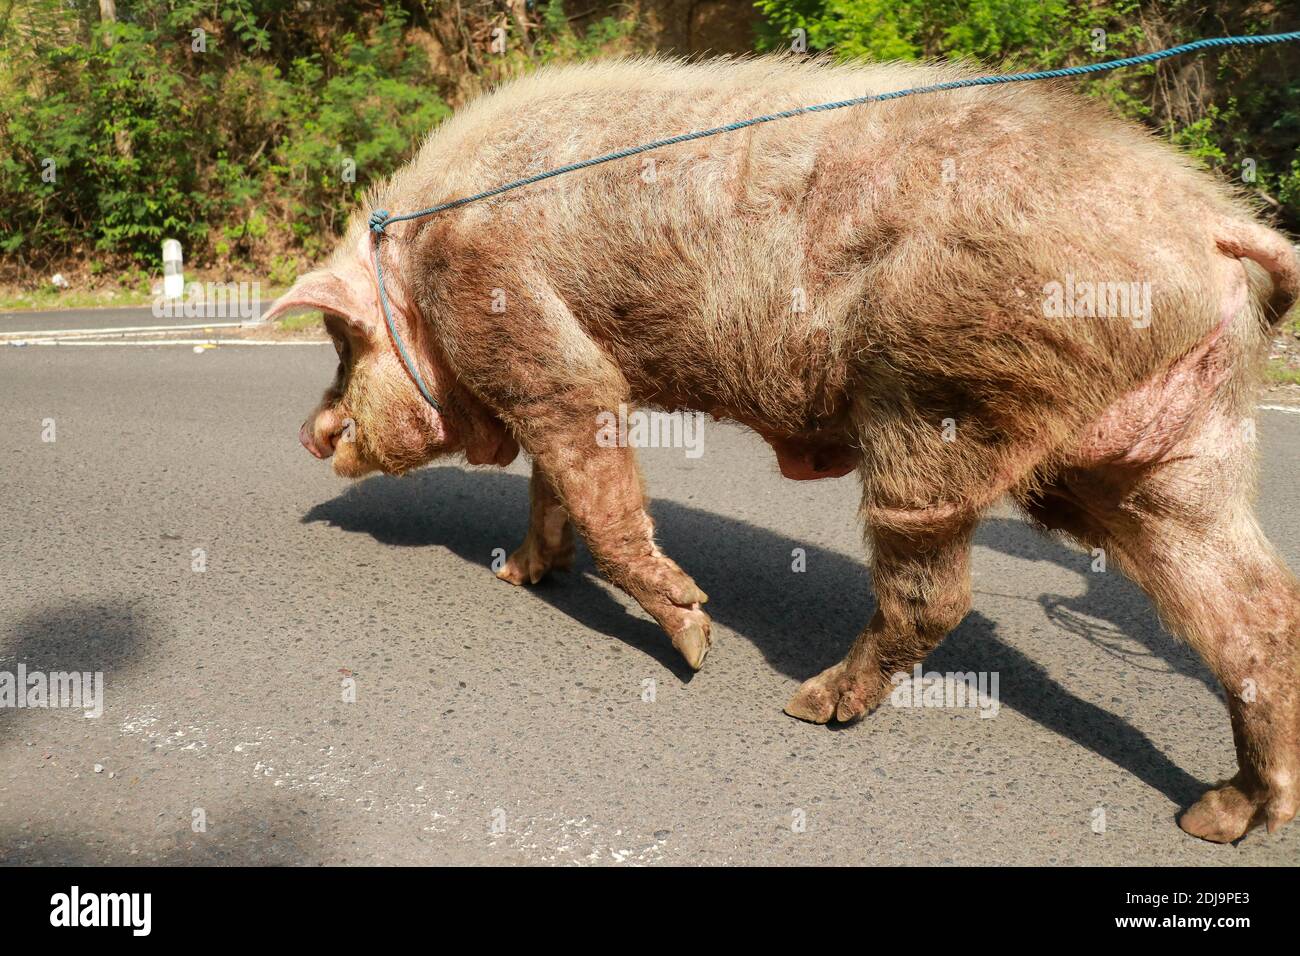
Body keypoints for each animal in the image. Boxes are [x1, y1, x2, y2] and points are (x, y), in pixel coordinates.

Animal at [267, 56, 1300, 843]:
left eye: (343, 343)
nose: (311, 434)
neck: (420, 261)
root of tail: (1211, 222)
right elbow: (550, 486)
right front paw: (519, 577)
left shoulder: (521, 324)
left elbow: (589, 464)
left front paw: (695, 643)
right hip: (1172, 448)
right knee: (1254, 608)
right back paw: (1219, 819)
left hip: (940, 392)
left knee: (937, 584)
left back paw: (809, 704)